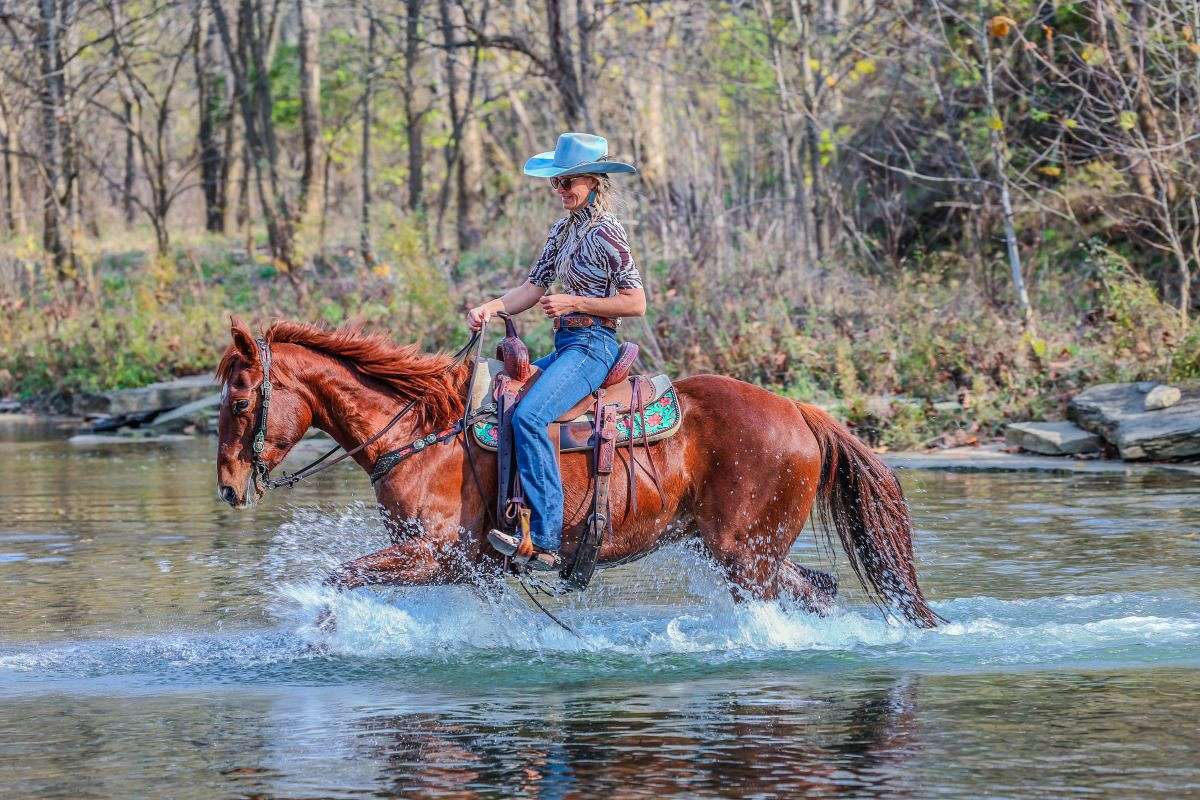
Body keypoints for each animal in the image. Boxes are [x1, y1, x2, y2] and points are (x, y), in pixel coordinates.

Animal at [215, 317, 939, 627]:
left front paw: (324, 635)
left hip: (746, 554)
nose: (227, 486)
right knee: (817, 588)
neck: (422, 435)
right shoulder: (470, 569)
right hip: (737, 550)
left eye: (241, 400)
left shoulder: (436, 554)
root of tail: (799, 410)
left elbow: (338, 579)